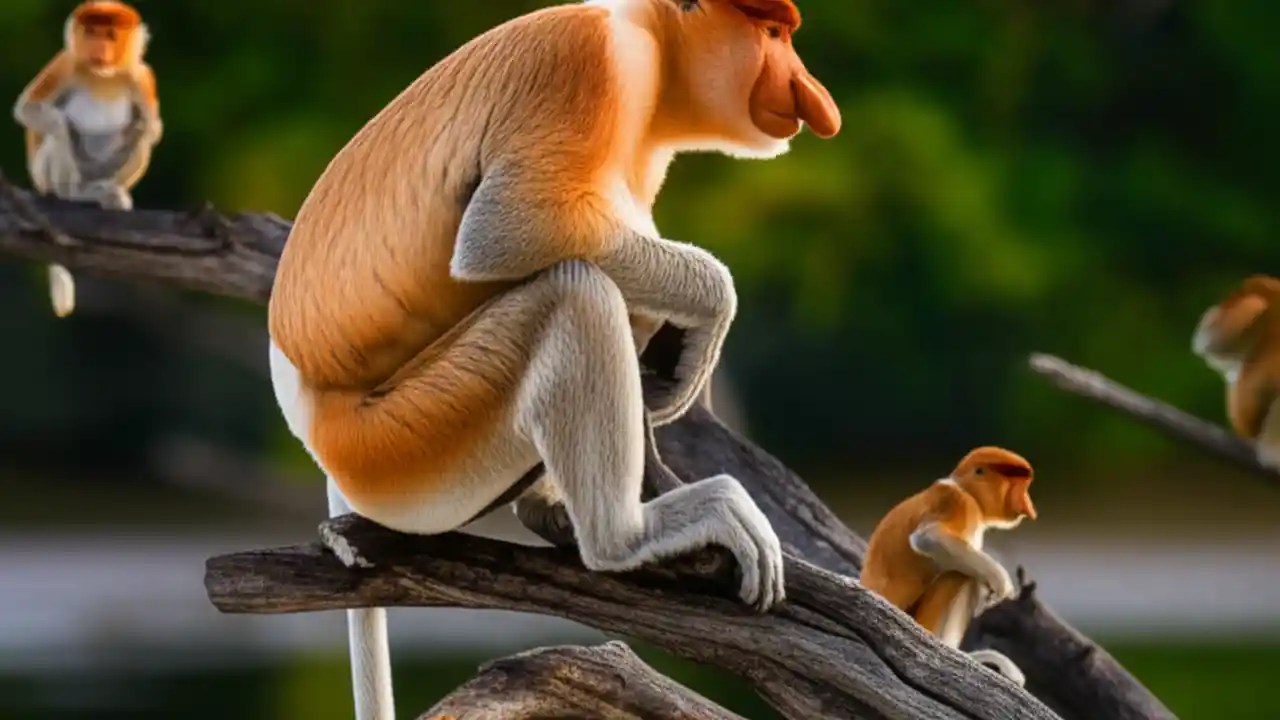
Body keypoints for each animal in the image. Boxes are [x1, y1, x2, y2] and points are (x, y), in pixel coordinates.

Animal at [13, 0, 162, 318]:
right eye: (91, 31)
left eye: (109, 34)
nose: (98, 48)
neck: (103, 75)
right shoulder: (65, 63)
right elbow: (28, 110)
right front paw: (60, 124)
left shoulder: (143, 76)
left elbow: (152, 129)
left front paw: (146, 128)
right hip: (45, 174)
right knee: (57, 137)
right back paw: (74, 194)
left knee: (141, 134)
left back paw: (109, 195)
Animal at [266, 1, 840, 718]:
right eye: (772, 33)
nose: (810, 90)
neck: (652, 45)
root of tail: (309, 418)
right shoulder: (588, 63)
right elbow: (510, 229)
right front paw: (711, 309)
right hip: (406, 443)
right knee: (575, 290)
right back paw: (626, 535)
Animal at [860, 447, 1037, 686]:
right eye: (1016, 482)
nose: (1027, 504)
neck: (965, 489)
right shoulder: (958, 503)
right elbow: (928, 538)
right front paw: (1000, 581)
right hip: (924, 624)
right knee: (959, 574)